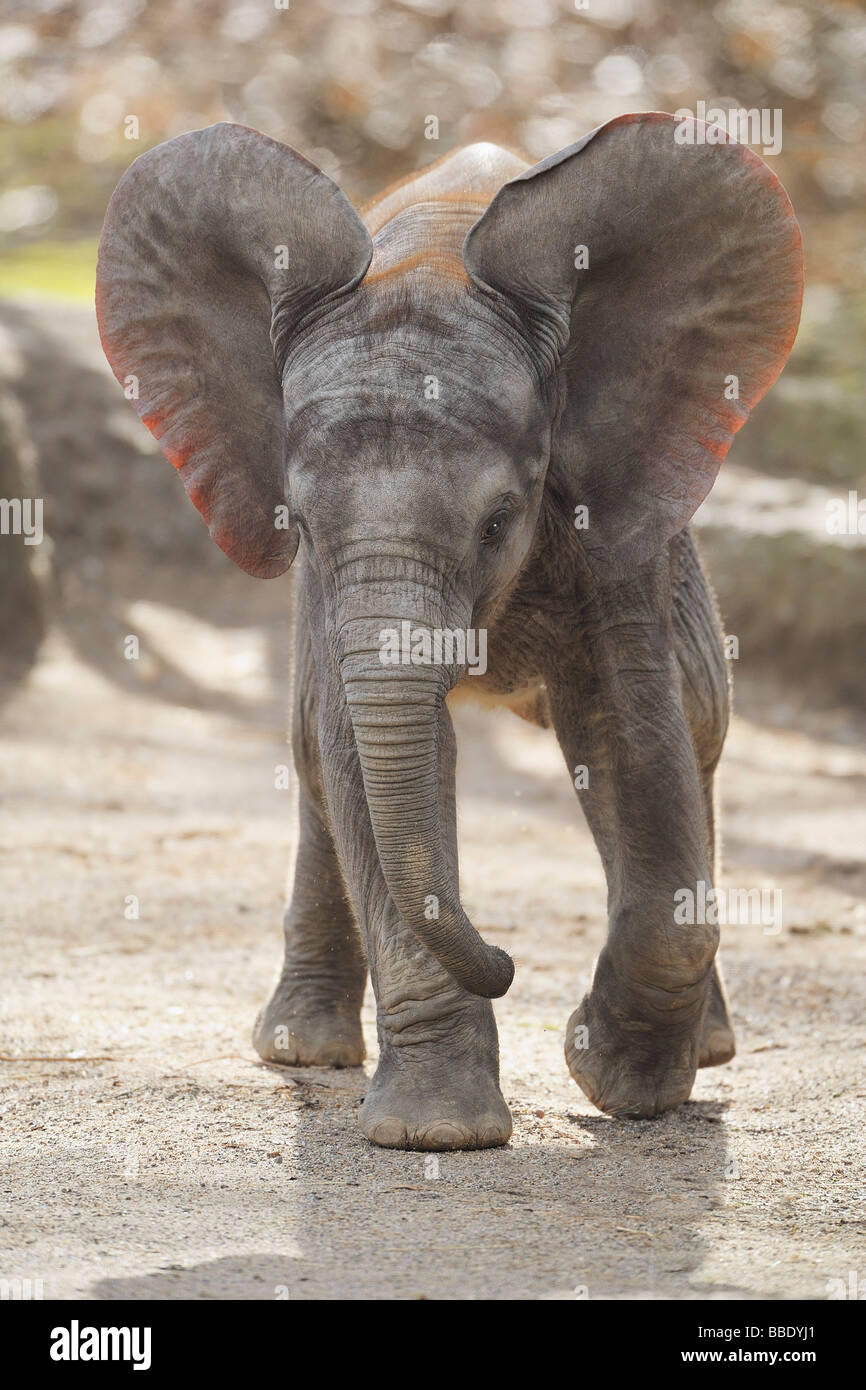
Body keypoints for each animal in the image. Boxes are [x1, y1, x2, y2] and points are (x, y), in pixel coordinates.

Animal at [96, 112, 803, 1150]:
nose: (507, 957)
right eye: (302, 525)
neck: (430, 257)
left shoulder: (615, 513)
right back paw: (304, 1050)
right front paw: (440, 1135)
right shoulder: (321, 584)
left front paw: (617, 1079)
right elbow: (358, 751)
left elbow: (632, 735)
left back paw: (705, 1052)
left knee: (704, 720)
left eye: (499, 521)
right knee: (311, 753)